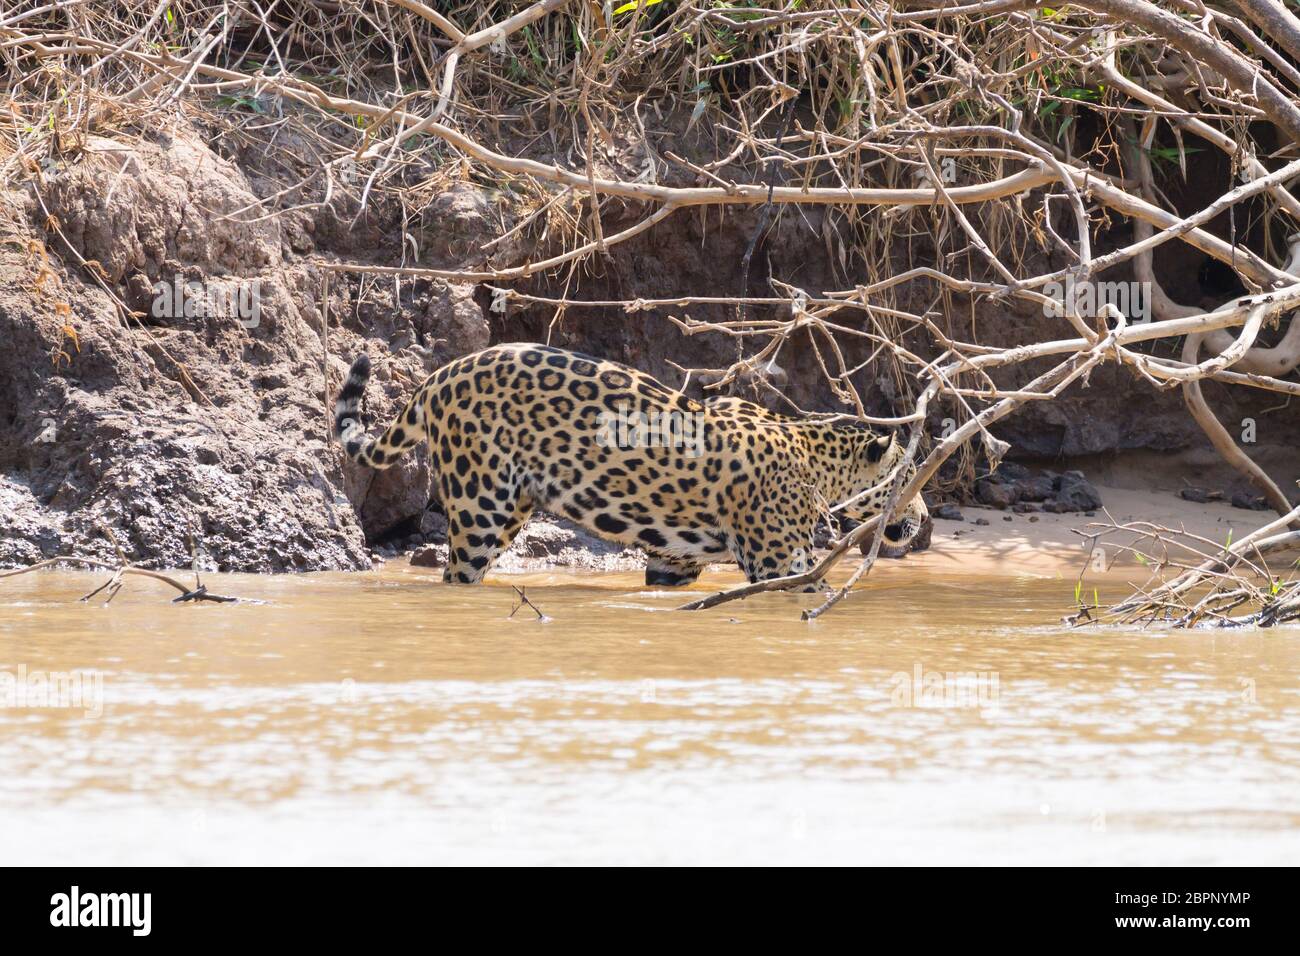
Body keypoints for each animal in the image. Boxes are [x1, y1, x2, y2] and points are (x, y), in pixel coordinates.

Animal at [333, 343, 928, 590]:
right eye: (906, 478)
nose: (924, 519)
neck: (816, 460)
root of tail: (440, 374)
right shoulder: (778, 562)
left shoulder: (673, 561)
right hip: (480, 507)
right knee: (458, 574)